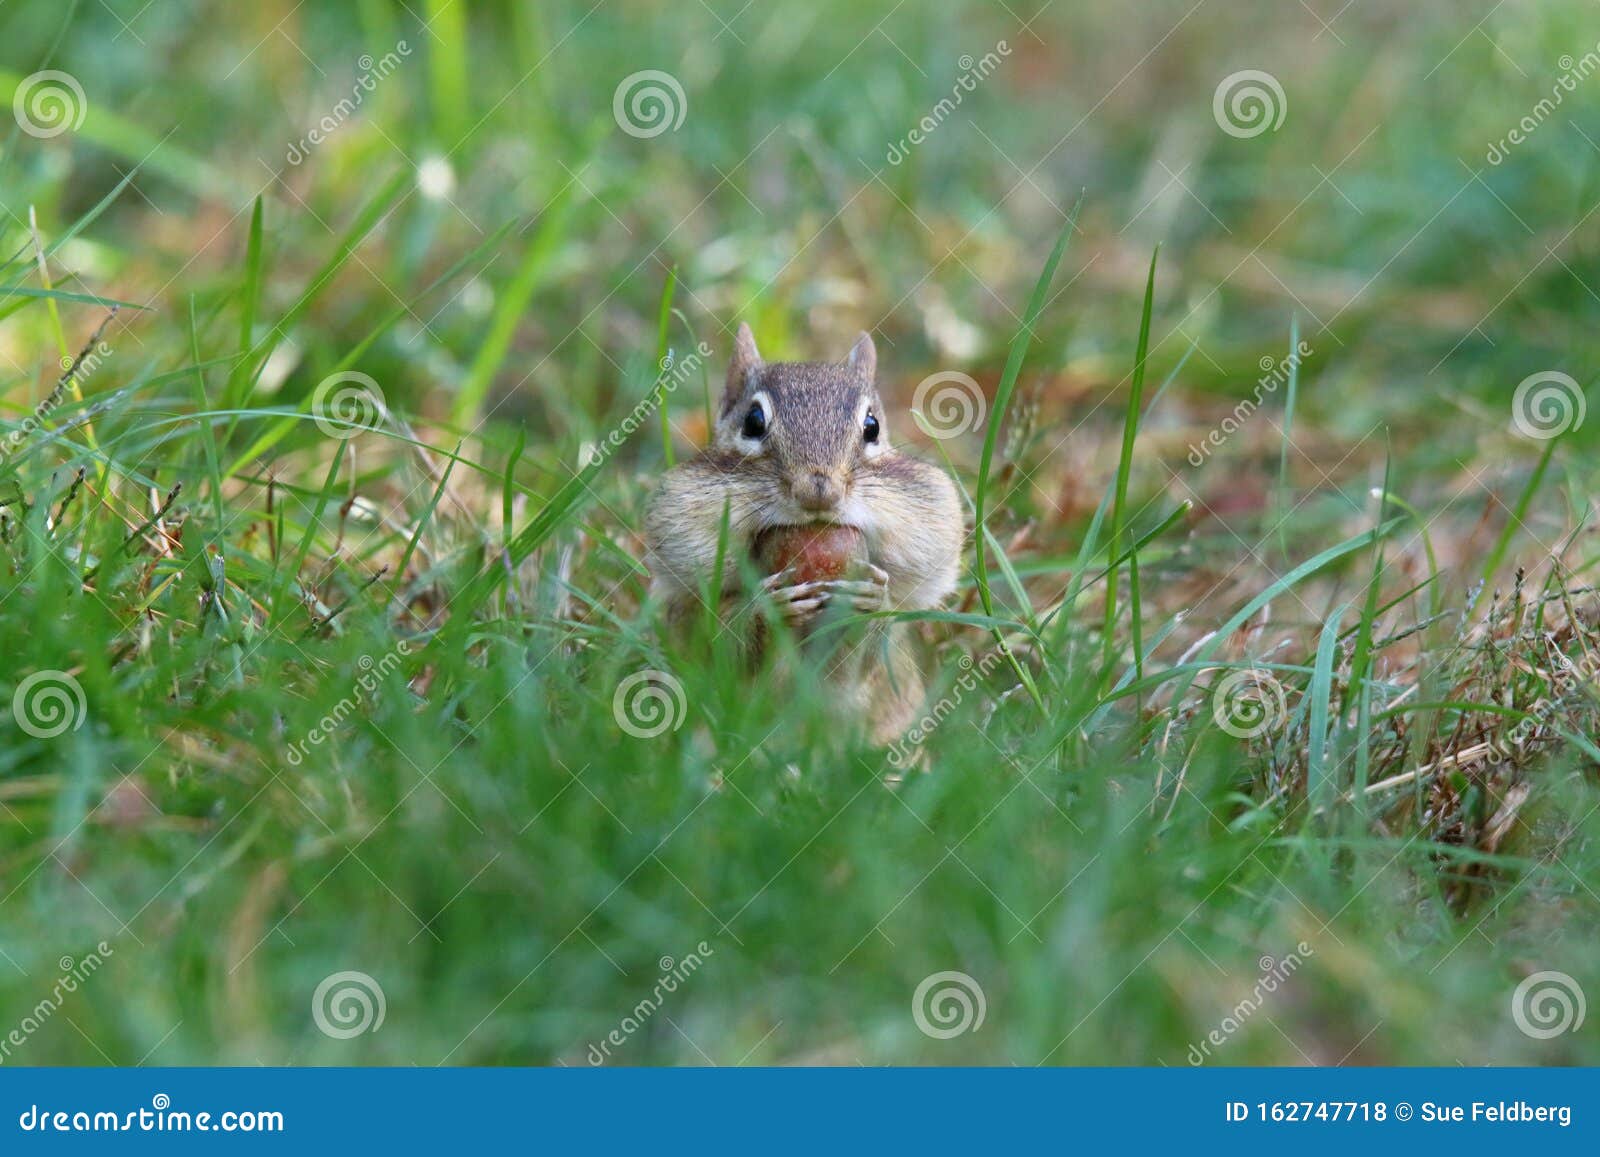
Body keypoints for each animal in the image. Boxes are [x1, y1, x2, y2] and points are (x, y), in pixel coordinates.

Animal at [643, 323, 965, 745]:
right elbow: (728, 643)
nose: (818, 492)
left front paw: (871, 600)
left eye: (872, 427)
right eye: (753, 422)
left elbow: (861, 661)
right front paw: (768, 608)